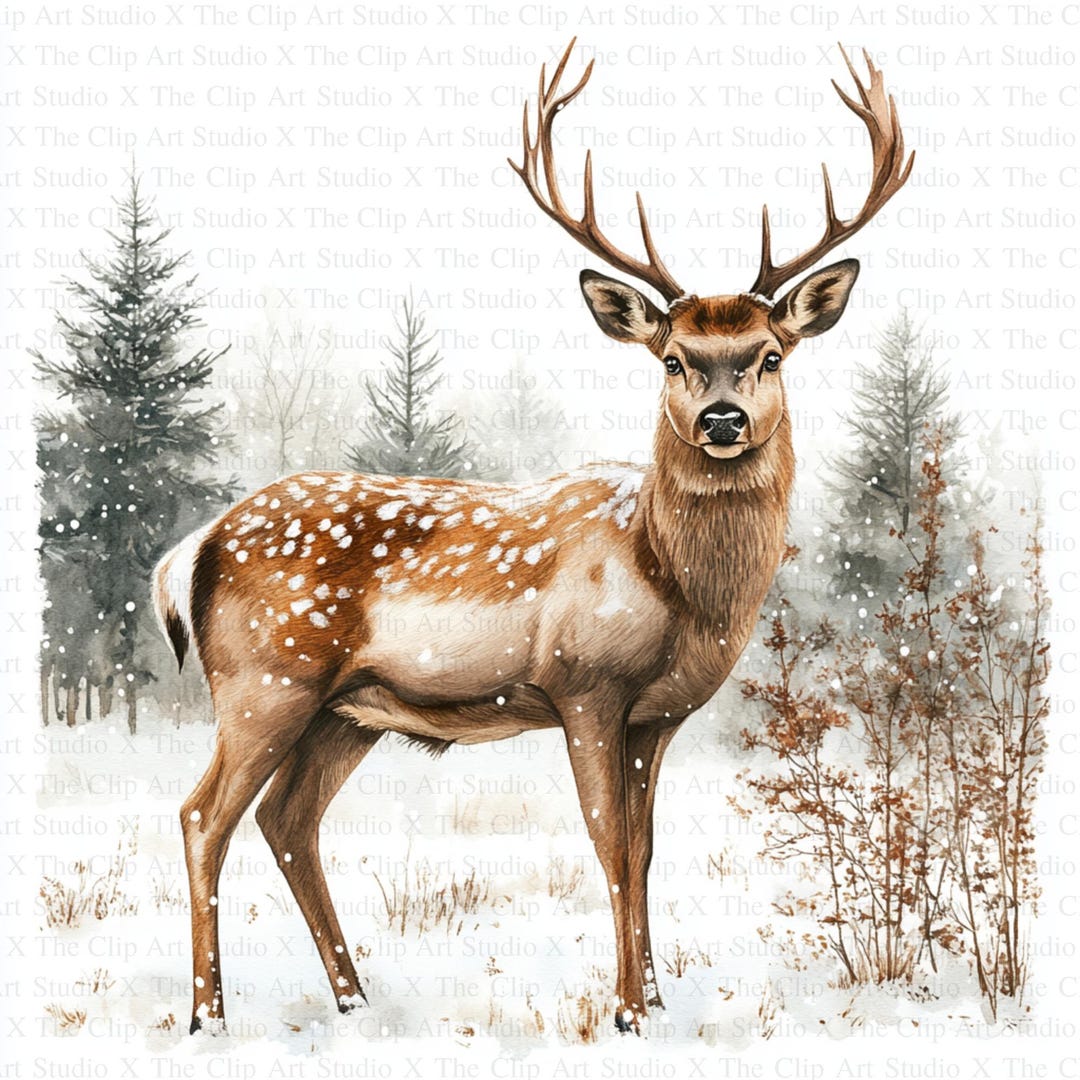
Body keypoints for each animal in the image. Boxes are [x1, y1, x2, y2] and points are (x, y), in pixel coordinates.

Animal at [154, 40, 912, 1036]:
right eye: (672, 360)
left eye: (770, 355)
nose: (721, 419)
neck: (677, 586)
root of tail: (192, 549)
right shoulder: (585, 686)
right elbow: (610, 846)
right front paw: (626, 1012)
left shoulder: (656, 715)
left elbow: (645, 850)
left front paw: (655, 1000)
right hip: (263, 679)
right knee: (204, 816)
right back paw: (210, 1016)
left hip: (342, 711)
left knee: (289, 821)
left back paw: (357, 1001)